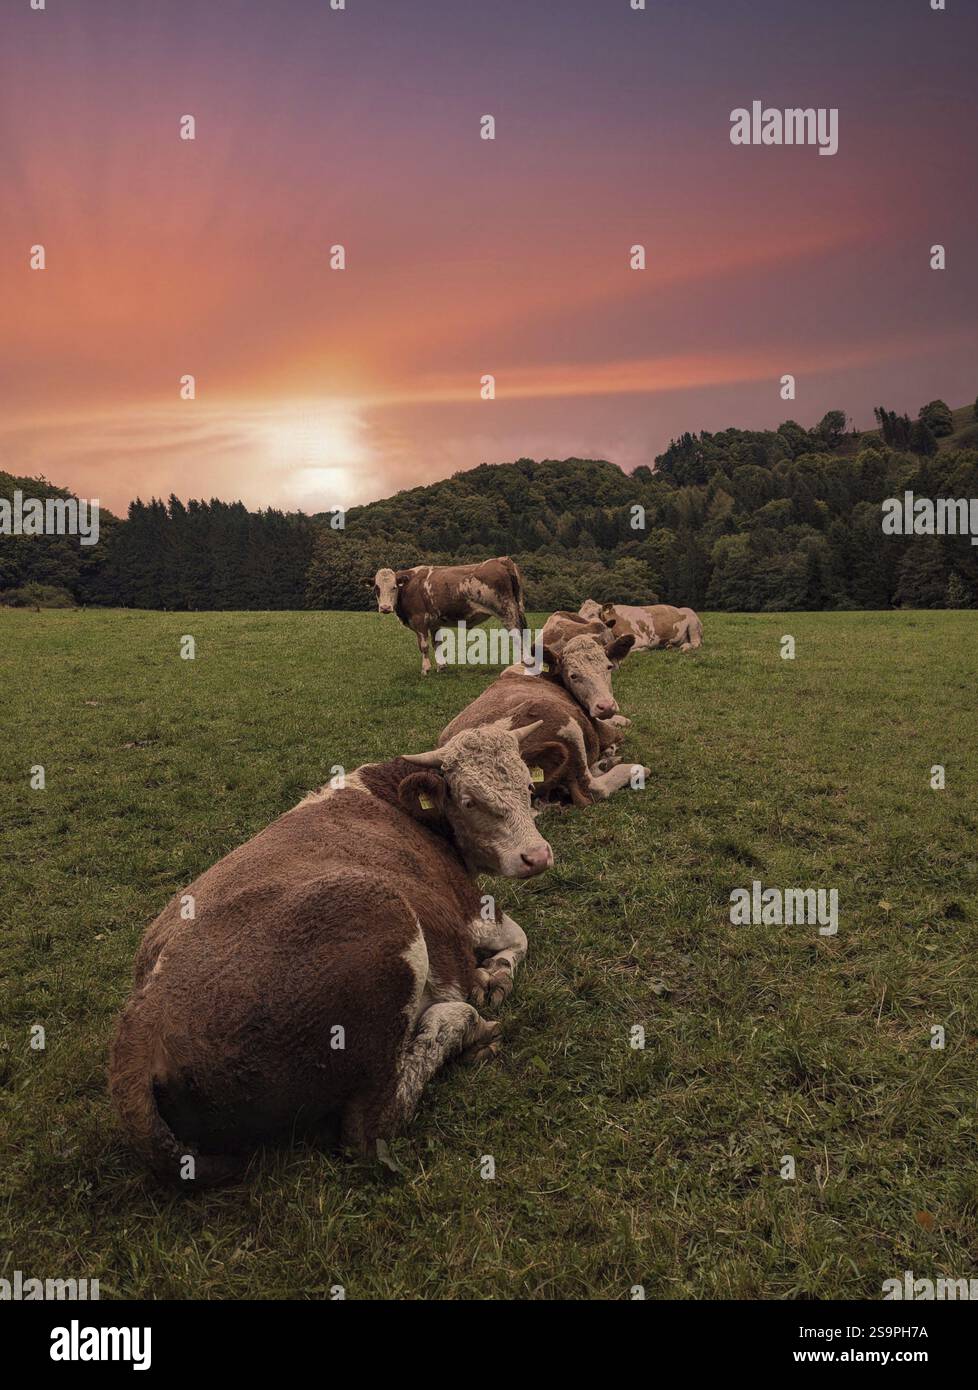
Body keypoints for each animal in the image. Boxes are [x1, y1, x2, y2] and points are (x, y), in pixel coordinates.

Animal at [109, 722, 552, 1185]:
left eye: (527, 786)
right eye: (469, 801)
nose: (537, 856)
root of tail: (143, 1017)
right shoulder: (467, 911)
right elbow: (518, 938)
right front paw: (493, 977)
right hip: (382, 914)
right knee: (370, 1126)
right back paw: (466, 1027)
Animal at [372, 558, 526, 675]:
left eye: (394, 587)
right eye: (376, 588)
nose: (385, 607)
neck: (409, 585)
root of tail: (501, 560)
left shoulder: (419, 620)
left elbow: (423, 646)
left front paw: (425, 669)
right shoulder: (434, 622)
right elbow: (437, 643)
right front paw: (442, 666)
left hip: (507, 611)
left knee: (518, 637)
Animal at [439, 632, 648, 809]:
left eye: (608, 667)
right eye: (573, 675)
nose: (606, 706)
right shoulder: (599, 728)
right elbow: (619, 732)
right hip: (564, 723)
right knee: (592, 787)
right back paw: (632, 769)